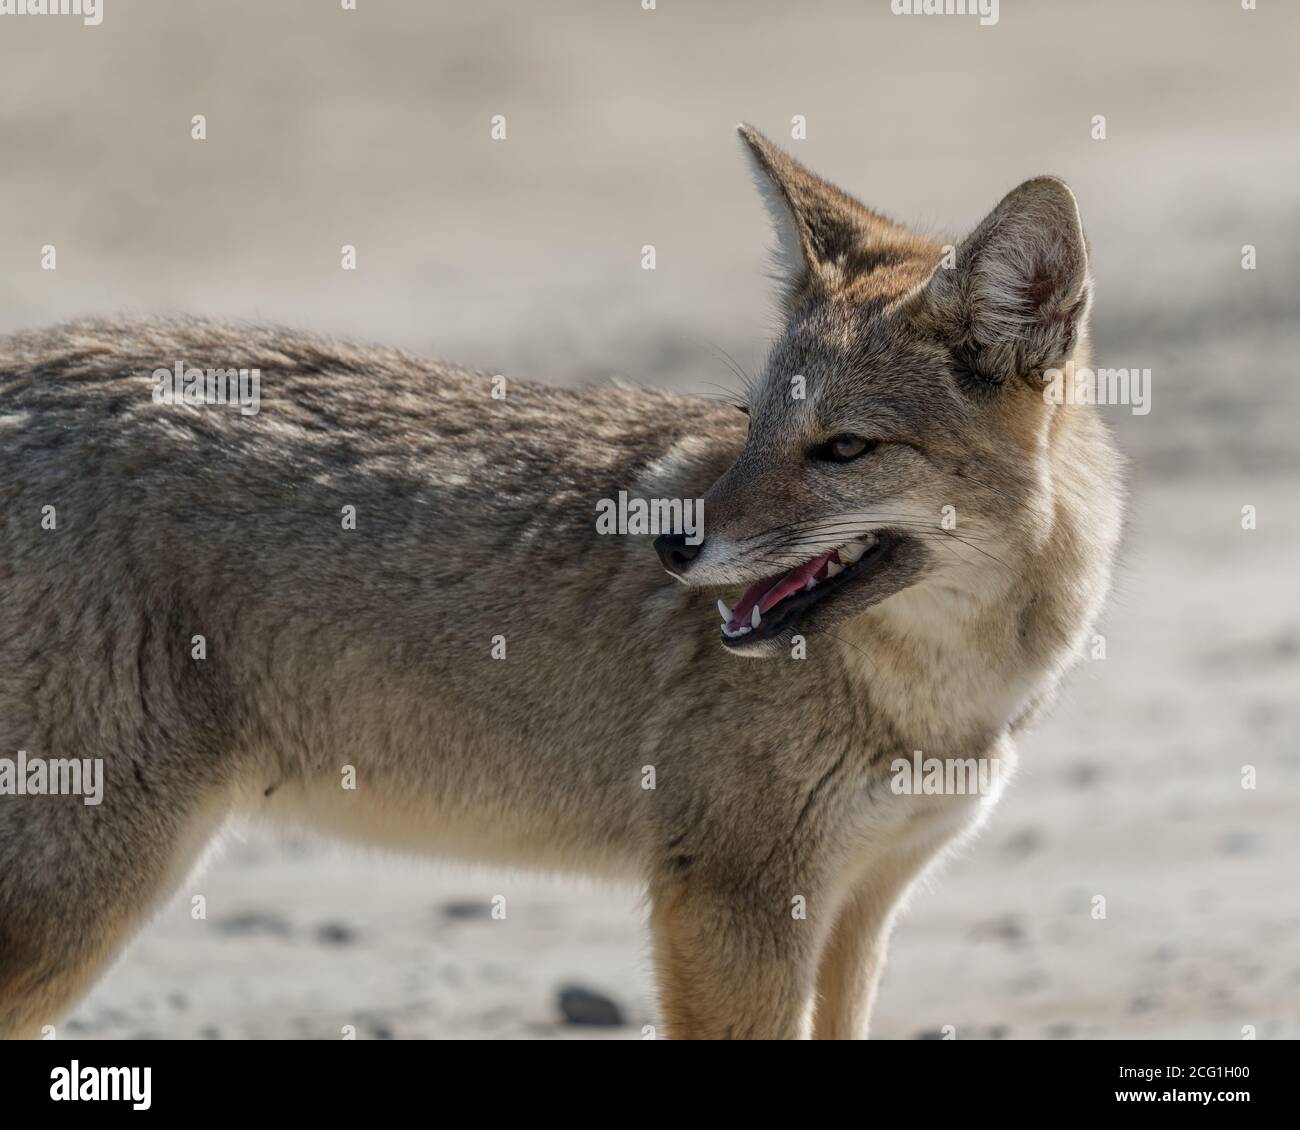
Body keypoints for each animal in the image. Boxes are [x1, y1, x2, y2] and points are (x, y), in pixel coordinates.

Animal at [0, 125, 1122, 1040]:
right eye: (754, 421)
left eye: (843, 447)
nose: (670, 544)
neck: (939, 694)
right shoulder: (733, 907)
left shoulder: (860, 903)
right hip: (83, 898)